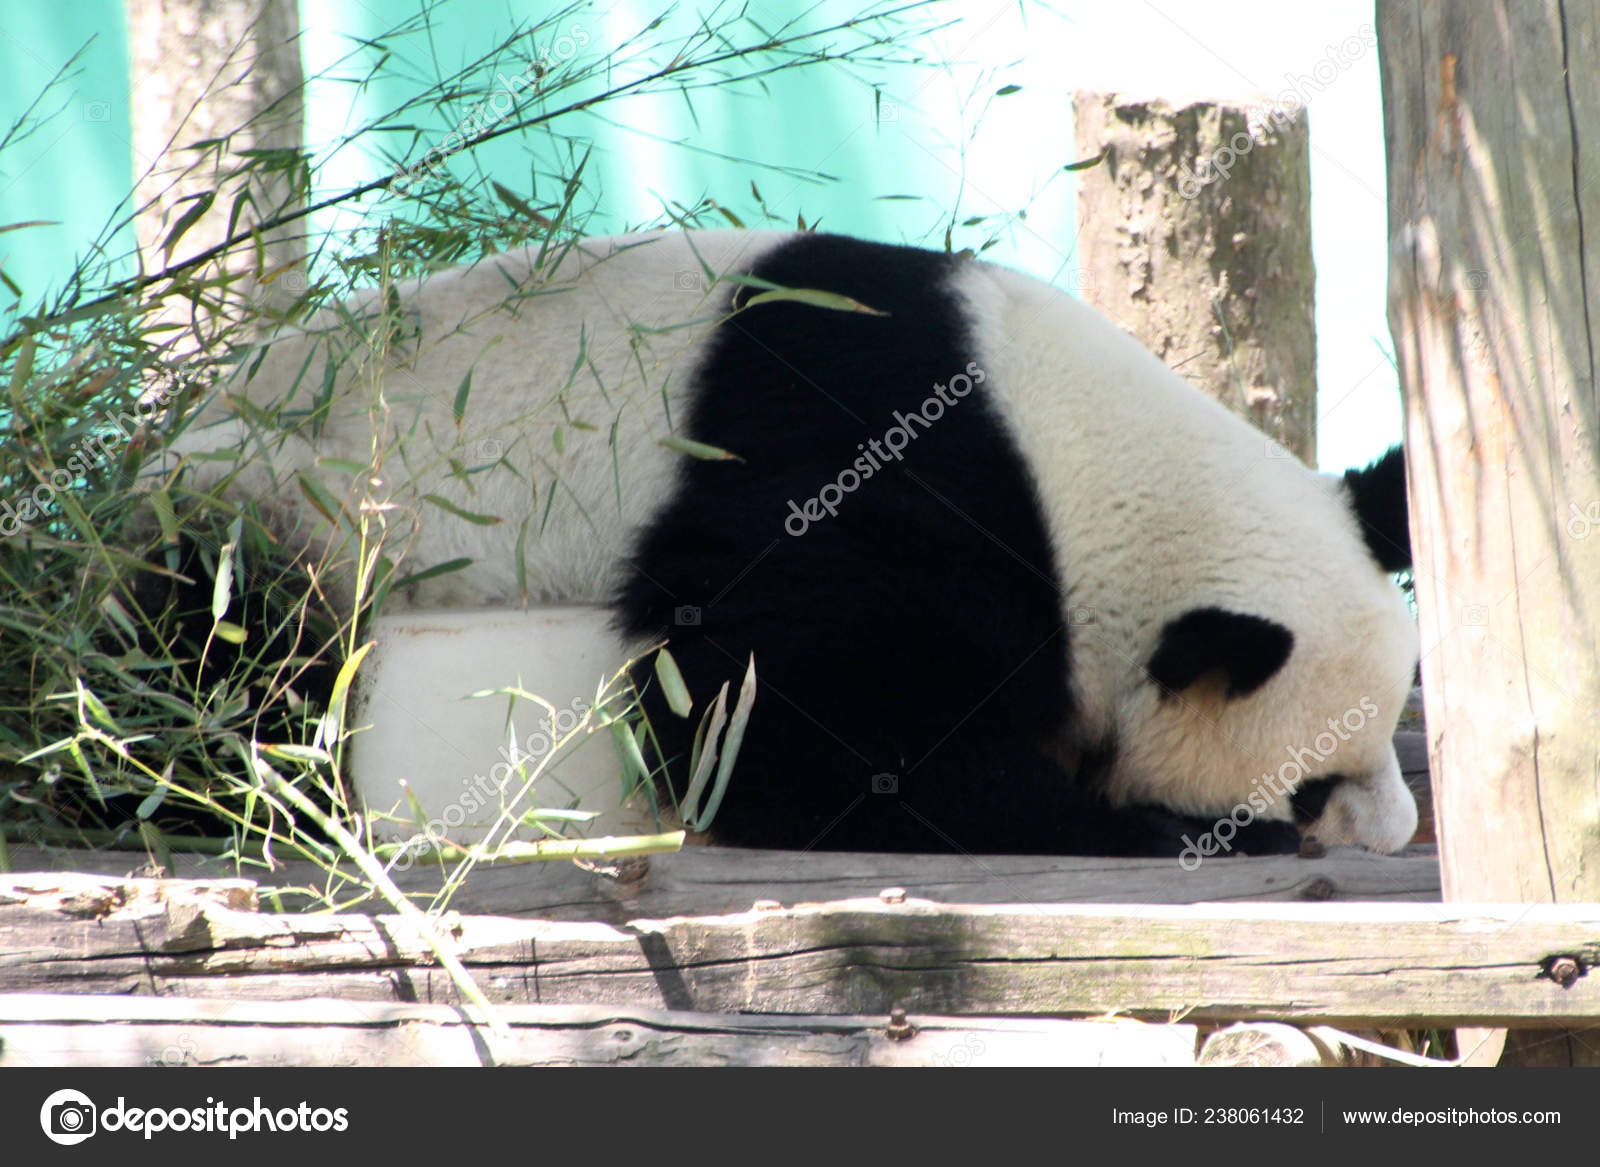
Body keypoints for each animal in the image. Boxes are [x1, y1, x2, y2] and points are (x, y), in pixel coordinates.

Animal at [165, 229, 1419, 858]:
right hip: (280, 498)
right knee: (223, 646)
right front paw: (1138, 824)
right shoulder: (879, 468)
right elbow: (773, 702)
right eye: (1316, 784)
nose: (1395, 836)